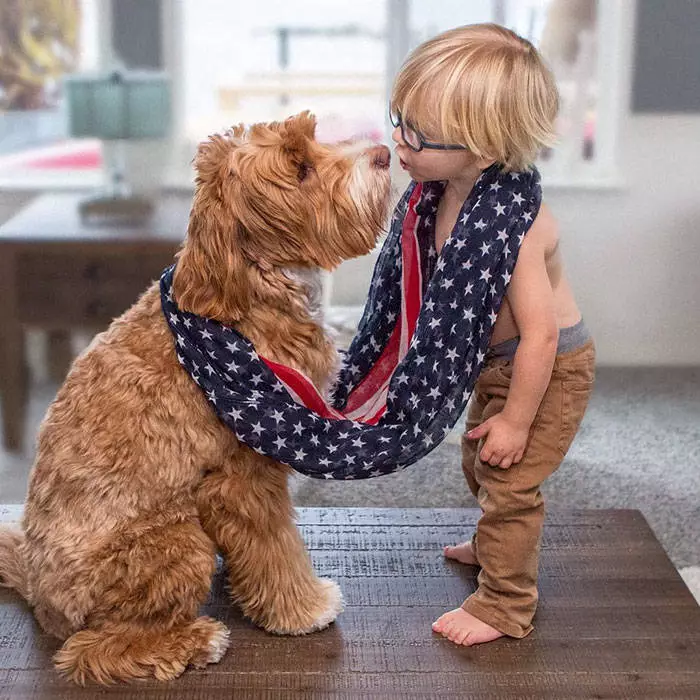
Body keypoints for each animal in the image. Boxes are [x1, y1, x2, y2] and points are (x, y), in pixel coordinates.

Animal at [0, 112, 394, 688]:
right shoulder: (243, 474)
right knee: (89, 650)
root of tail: (39, 591)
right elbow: (277, 548)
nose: (385, 154)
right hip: (175, 542)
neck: (248, 286)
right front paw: (302, 608)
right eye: (300, 167)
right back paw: (189, 641)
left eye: (315, 137)